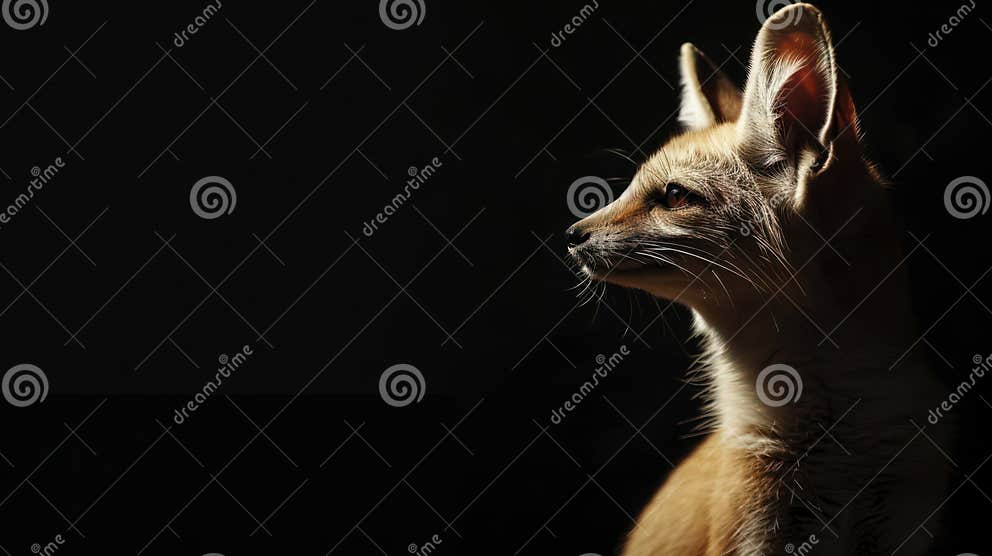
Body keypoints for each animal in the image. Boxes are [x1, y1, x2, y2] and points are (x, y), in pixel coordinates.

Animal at [566, 4, 952, 555]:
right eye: (632, 187)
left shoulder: (904, 523)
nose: (571, 235)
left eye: (674, 195)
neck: (837, 444)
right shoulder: (753, 532)